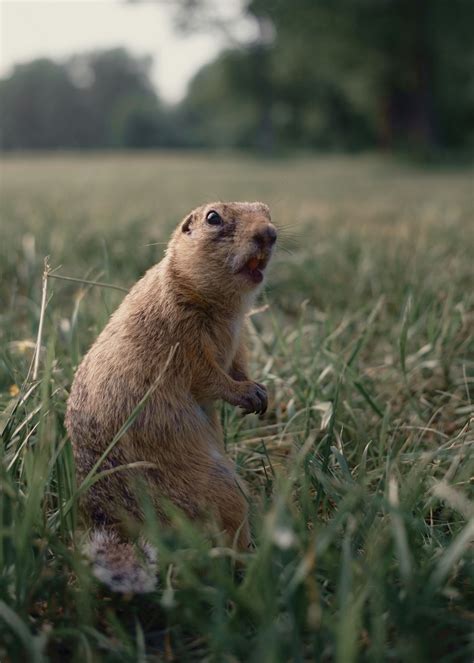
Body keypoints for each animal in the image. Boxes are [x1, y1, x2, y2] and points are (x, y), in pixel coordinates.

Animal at [65, 201, 277, 593]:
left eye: (266, 210)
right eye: (213, 218)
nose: (269, 233)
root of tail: (109, 520)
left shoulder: (238, 340)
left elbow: (238, 363)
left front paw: (259, 391)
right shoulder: (182, 338)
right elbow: (207, 376)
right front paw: (245, 392)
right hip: (215, 484)